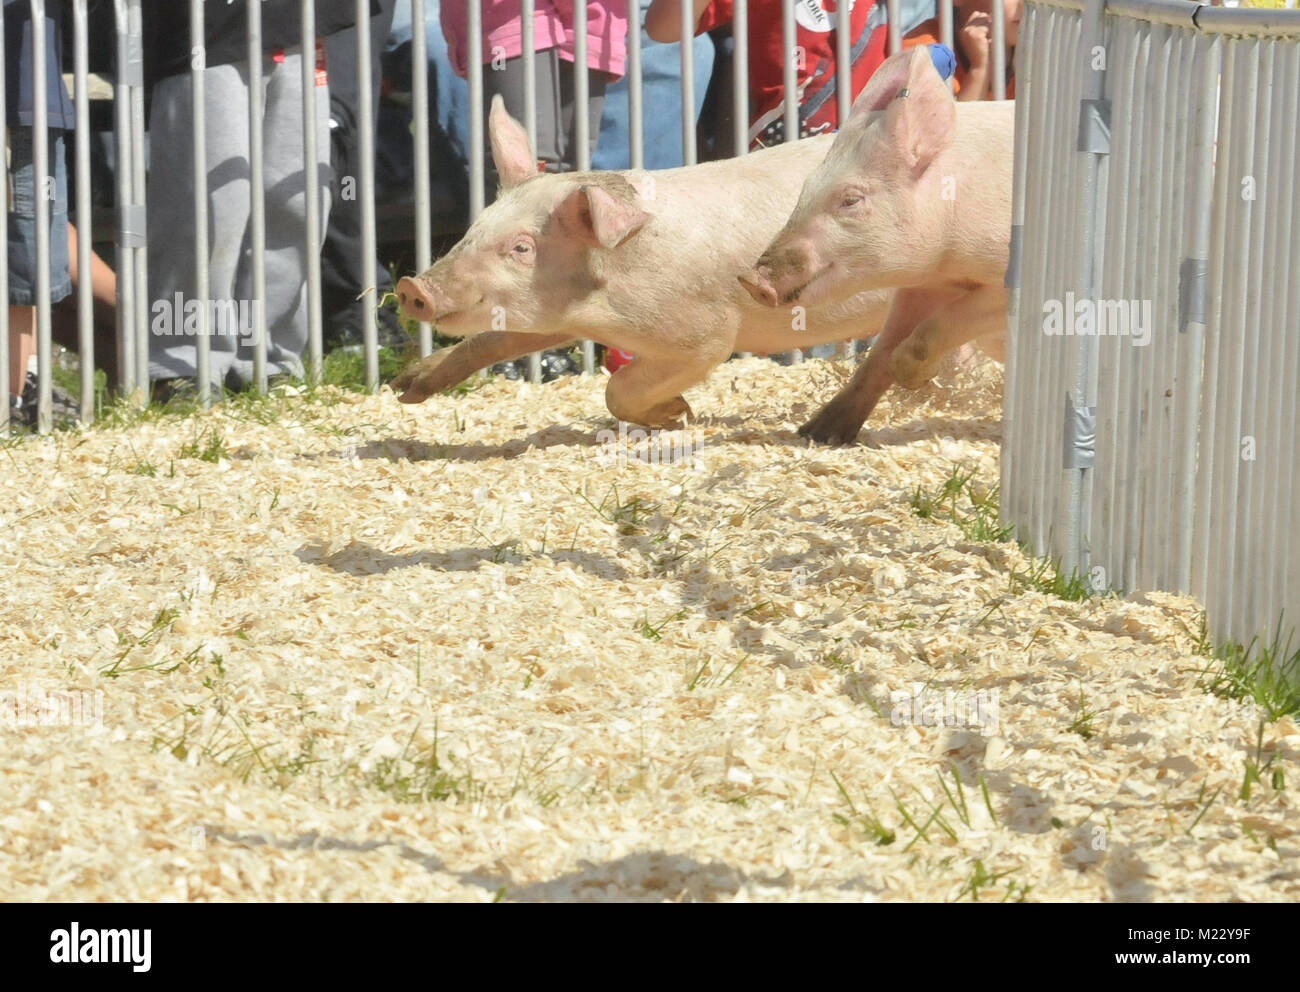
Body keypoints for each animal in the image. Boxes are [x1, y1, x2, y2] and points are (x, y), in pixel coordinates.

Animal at [391, 95, 896, 429]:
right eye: (475, 227)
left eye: (522, 248)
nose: (413, 287)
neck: (602, 302)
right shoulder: (557, 317)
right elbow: (496, 338)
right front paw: (405, 386)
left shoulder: (703, 334)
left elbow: (619, 388)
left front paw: (679, 414)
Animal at [740, 46, 1014, 444]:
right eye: (805, 189)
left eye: (851, 200)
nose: (752, 280)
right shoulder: (926, 283)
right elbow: (879, 354)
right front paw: (818, 434)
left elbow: (942, 325)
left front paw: (911, 375)